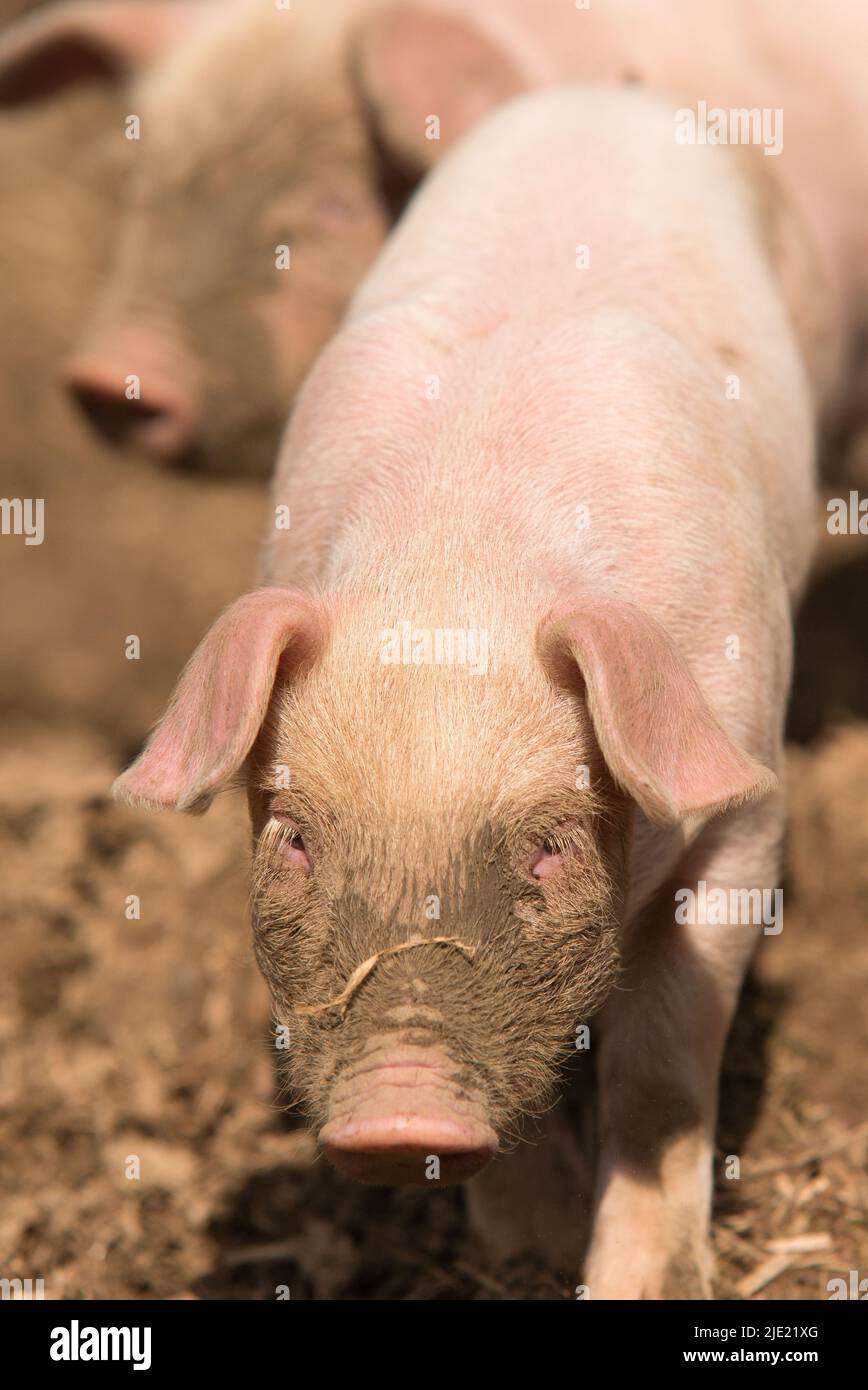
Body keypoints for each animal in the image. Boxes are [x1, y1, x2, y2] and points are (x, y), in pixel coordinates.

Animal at [112, 81, 843, 1297]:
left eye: (550, 843)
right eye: (296, 838)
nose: (397, 1118)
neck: (458, 561)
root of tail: (599, 96)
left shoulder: (752, 806)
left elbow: (662, 1063)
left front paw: (632, 1276)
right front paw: (526, 1245)